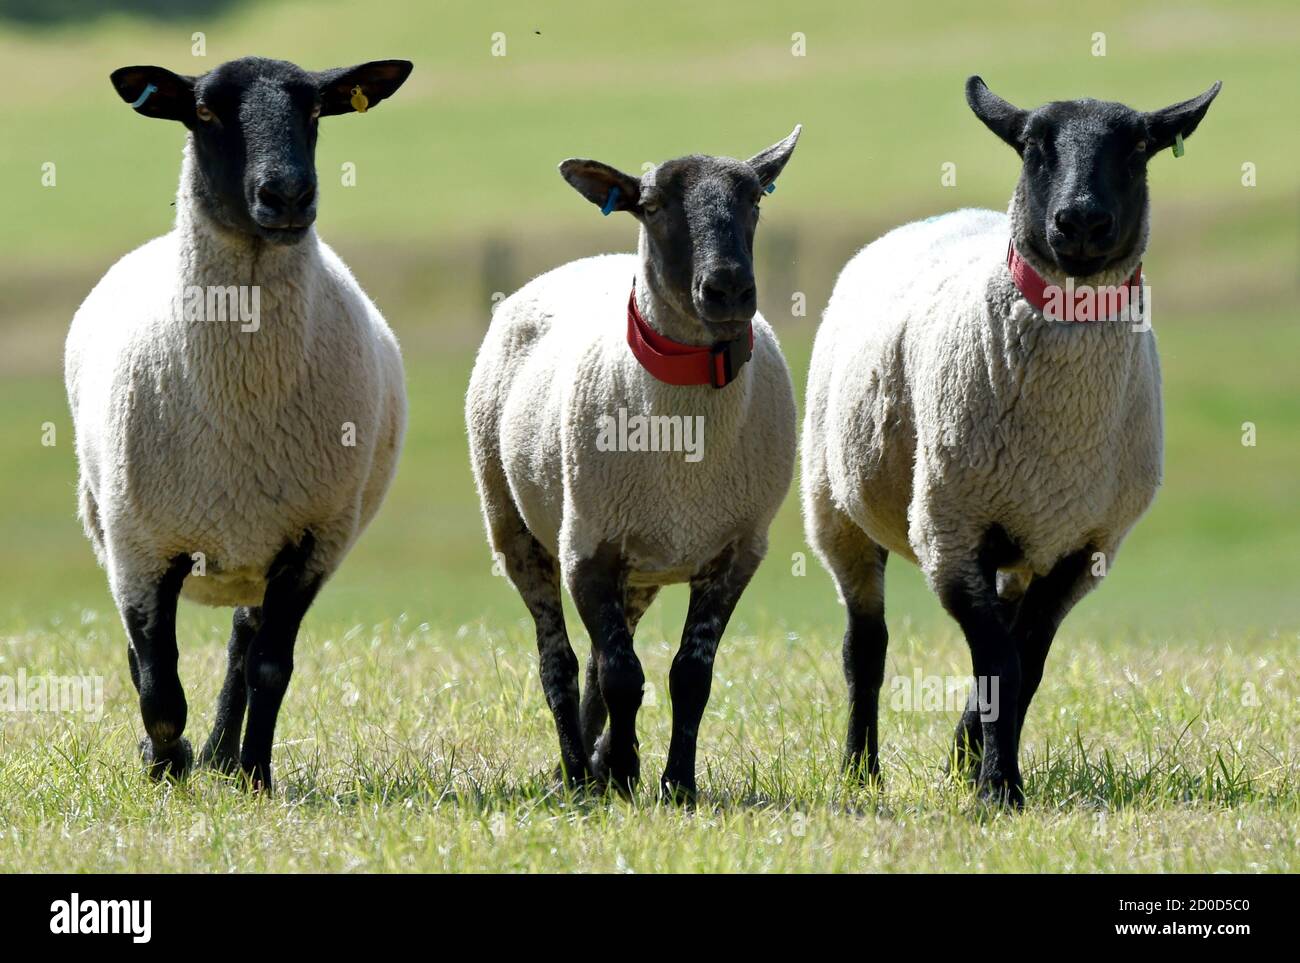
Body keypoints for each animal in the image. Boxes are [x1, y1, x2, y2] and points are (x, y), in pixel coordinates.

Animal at [64, 56, 413, 790]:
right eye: (204, 112)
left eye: (315, 112)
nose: (287, 195)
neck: (241, 404)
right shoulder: (140, 546)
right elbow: (158, 684)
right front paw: (166, 763)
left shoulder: (313, 541)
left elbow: (269, 667)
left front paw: (254, 775)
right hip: (108, 521)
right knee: (147, 658)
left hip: (261, 547)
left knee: (242, 643)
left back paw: (225, 755)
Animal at [466, 128, 802, 801]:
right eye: (651, 206)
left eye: (755, 198)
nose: (728, 290)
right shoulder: (587, 548)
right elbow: (621, 675)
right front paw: (623, 773)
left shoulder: (736, 552)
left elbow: (689, 676)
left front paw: (676, 785)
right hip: (514, 526)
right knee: (561, 663)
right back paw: (577, 776)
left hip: (639, 567)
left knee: (599, 660)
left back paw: (591, 768)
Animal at [802, 77, 1220, 806]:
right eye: (1033, 145)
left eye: (1138, 147)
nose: (1080, 222)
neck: (1062, 428)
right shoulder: (950, 530)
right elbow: (998, 660)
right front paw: (998, 788)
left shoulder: (1082, 548)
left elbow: (1025, 665)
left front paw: (982, 767)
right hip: (835, 507)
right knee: (865, 648)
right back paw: (861, 771)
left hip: (1023, 535)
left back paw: (960, 753)